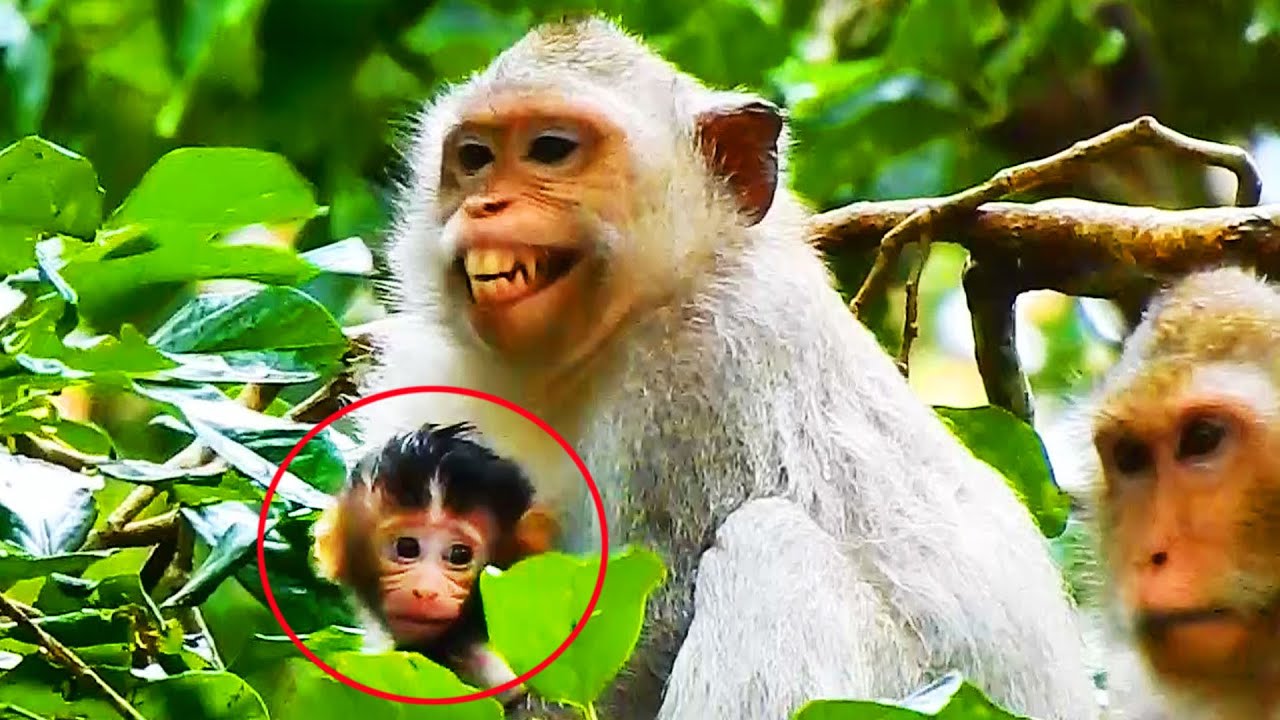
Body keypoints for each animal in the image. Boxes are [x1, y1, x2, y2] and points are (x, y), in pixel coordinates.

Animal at [356, 16, 1098, 720]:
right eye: (474, 159)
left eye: (551, 150)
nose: (484, 205)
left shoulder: (706, 365)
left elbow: (650, 614)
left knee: (772, 548)